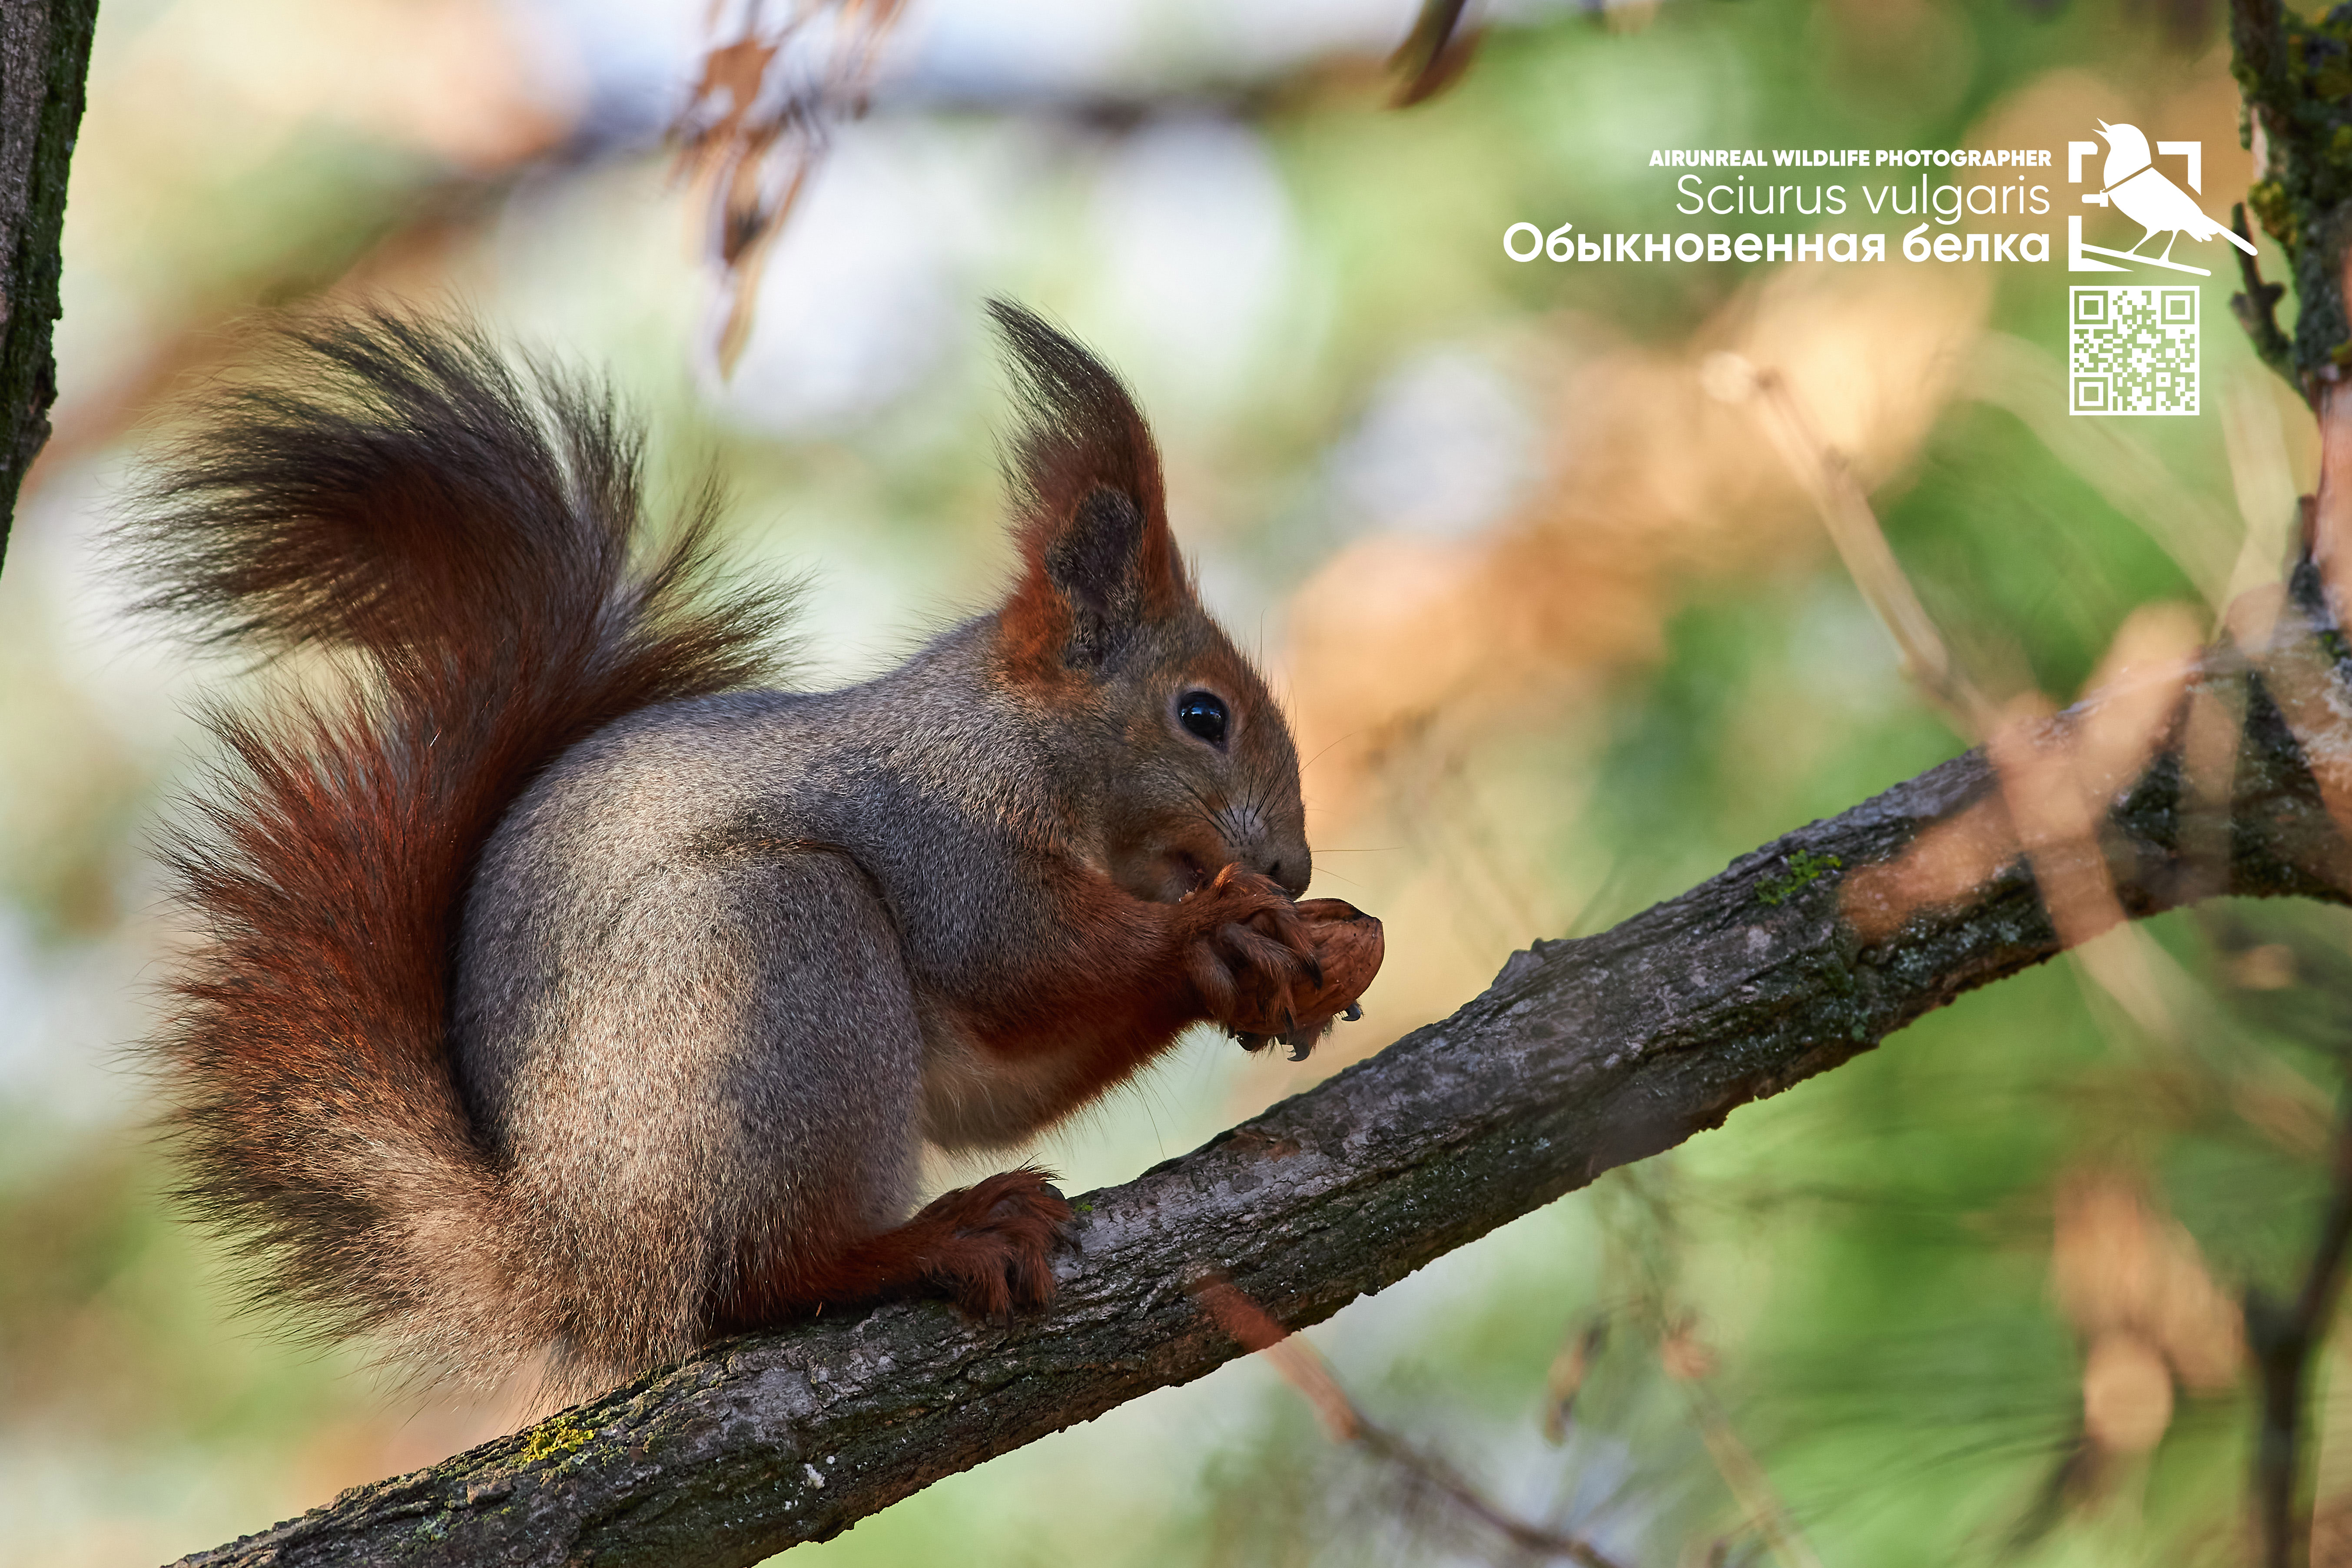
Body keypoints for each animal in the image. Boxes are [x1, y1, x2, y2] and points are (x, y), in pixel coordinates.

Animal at [119, 301, 1373, 1401]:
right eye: (1201, 714)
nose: (1291, 870)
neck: (1011, 736)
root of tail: (578, 1271)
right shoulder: (944, 835)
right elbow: (1017, 965)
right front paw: (1218, 925)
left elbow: (998, 1088)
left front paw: (1298, 959)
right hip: (777, 943)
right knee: (759, 1278)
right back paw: (922, 1240)